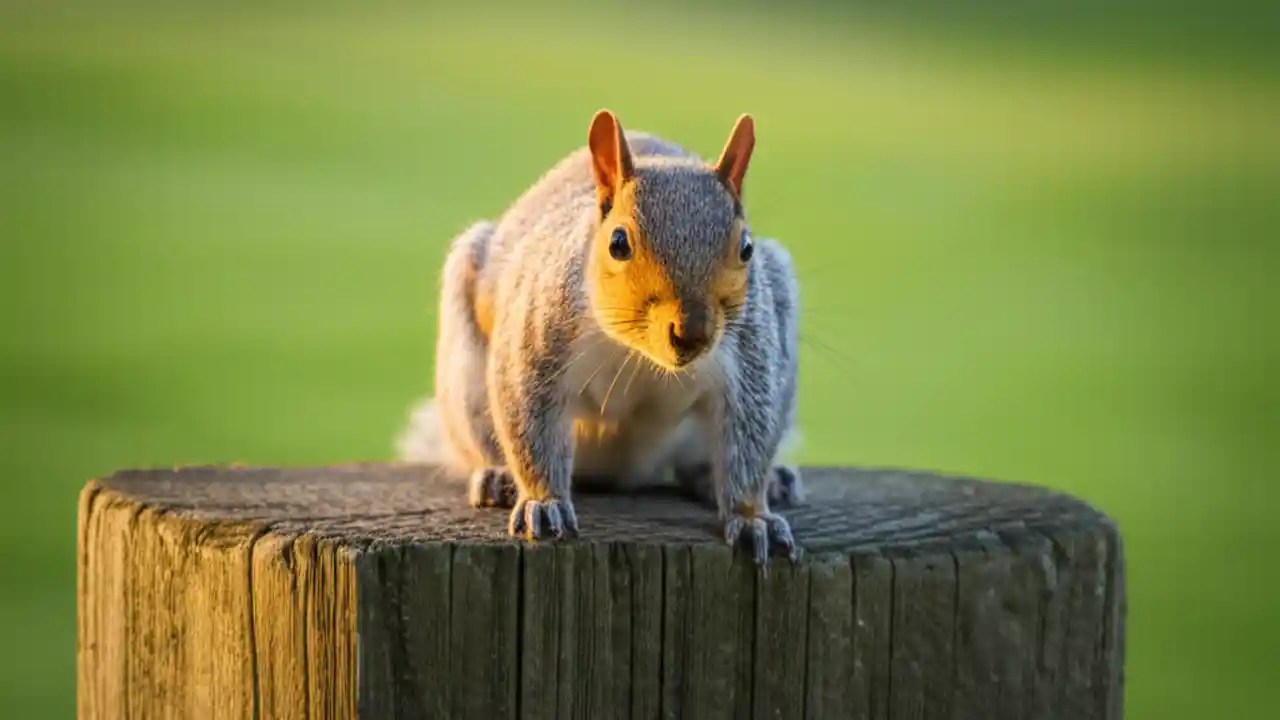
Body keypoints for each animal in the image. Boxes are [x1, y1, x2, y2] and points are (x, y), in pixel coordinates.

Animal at [398, 110, 802, 562]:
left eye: (747, 248)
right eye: (618, 243)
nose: (691, 334)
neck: (640, 354)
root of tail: (619, 469)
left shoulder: (748, 353)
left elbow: (752, 431)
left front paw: (752, 517)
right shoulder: (538, 336)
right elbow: (529, 418)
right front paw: (544, 503)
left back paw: (747, 478)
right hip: (465, 380)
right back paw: (497, 476)